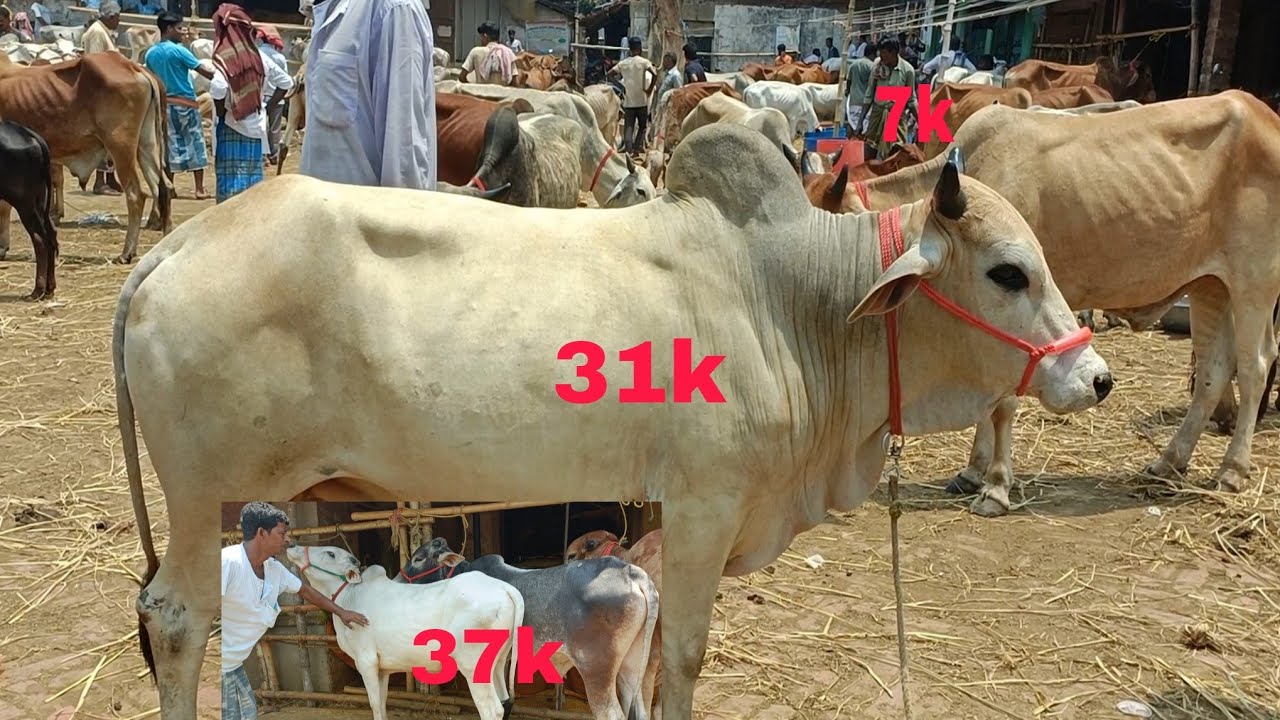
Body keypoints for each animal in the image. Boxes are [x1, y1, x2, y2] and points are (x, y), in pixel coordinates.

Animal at [0, 52, 171, 265]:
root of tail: (134, 67)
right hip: (147, 143)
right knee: (162, 188)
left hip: (120, 146)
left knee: (136, 195)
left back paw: (126, 253)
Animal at [0, 120, 58, 299]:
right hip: (40, 202)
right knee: (51, 235)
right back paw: (49, 289)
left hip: (25, 204)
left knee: (40, 239)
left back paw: (37, 290)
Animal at [285, 545, 522, 720]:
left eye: (331, 553)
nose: (292, 546)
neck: (348, 597)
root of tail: (504, 588)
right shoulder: (382, 668)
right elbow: (382, 703)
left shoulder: (366, 661)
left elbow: (374, 704)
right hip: (499, 661)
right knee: (504, 702)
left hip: (472, 666)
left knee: (492, 709)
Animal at [822, 92, 1280, 512]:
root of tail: (1264, 114)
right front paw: (973, 471)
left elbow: (1002, 406)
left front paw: (995, 485)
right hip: (1210, 286)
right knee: (1213, 372)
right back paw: (1169, 461)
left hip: (1253, 283)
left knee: (1255, 367)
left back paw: (1231, 470)